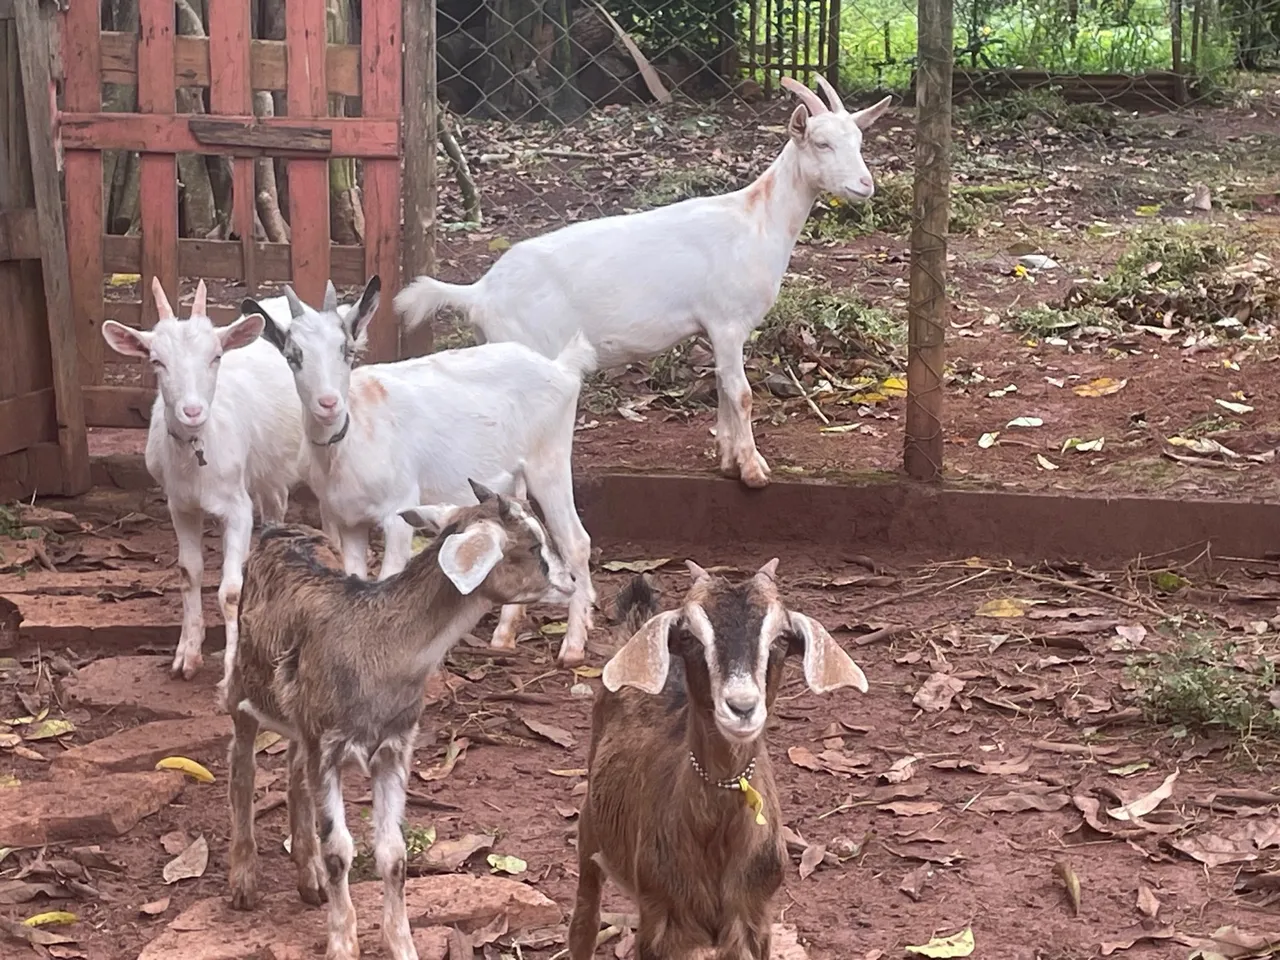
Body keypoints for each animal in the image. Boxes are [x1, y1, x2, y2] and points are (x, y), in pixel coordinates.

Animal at [100, 278, 304, 690]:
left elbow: (230, 591)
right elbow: (188, 572)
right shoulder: (180, 505)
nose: (192, 411)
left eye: (216, 357)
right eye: (156, 361)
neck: (198, 452)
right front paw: (187, 655)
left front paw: (230, 670)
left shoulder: (237, 507)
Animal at [225, 482, 575, 960]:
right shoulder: (327, 746)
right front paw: (342, 945)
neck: (381, 648)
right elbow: (341, 850)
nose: (571, 581)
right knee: (242, 766)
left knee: (294, 769)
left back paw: (308, 874)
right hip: (242, 683)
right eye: (532, 546)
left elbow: (393, 854)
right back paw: (244, 880)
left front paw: (401, 944)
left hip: (300, 717)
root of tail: (281, 528)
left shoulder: (393, 747)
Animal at [242, 276, 599, 665]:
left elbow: (389, 575)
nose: (328, 404)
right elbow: (355, 577)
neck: (352, 435)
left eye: (346, 351)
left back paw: (573, 646)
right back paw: (504, 635)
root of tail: (561, 368)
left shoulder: (399, 509)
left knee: (576, 540)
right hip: (512, 476)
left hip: (549, 459)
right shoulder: (347, 521)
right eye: (293, 356)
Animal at [394, 77, 892, 489]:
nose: (865, 185)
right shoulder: (727, 321)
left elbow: (723, 390)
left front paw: (729, 460)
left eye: (860, 140)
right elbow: (742, 394)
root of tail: (479, 292)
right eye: (822, 143)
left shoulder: (717, 330)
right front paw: (754, 471)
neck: (756, 220)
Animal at [568, 562, 869, 959]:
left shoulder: (753, 920)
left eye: (781, 639)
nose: (742, 707)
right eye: (688, 637)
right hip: (590, 829)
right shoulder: (661, 920)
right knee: (584, 920)